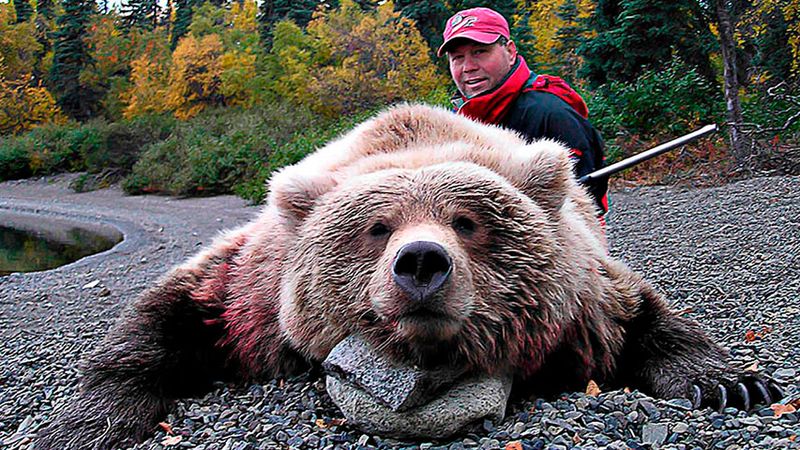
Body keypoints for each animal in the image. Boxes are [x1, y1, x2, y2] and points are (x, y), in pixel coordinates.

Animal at [35, 104, 782, 449]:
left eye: (467, 221)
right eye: (377, 227)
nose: (421, 262)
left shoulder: (581, 302)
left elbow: (641, 314)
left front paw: (734, 381)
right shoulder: (254, 288)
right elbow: (170, 315)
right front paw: (82, 422)